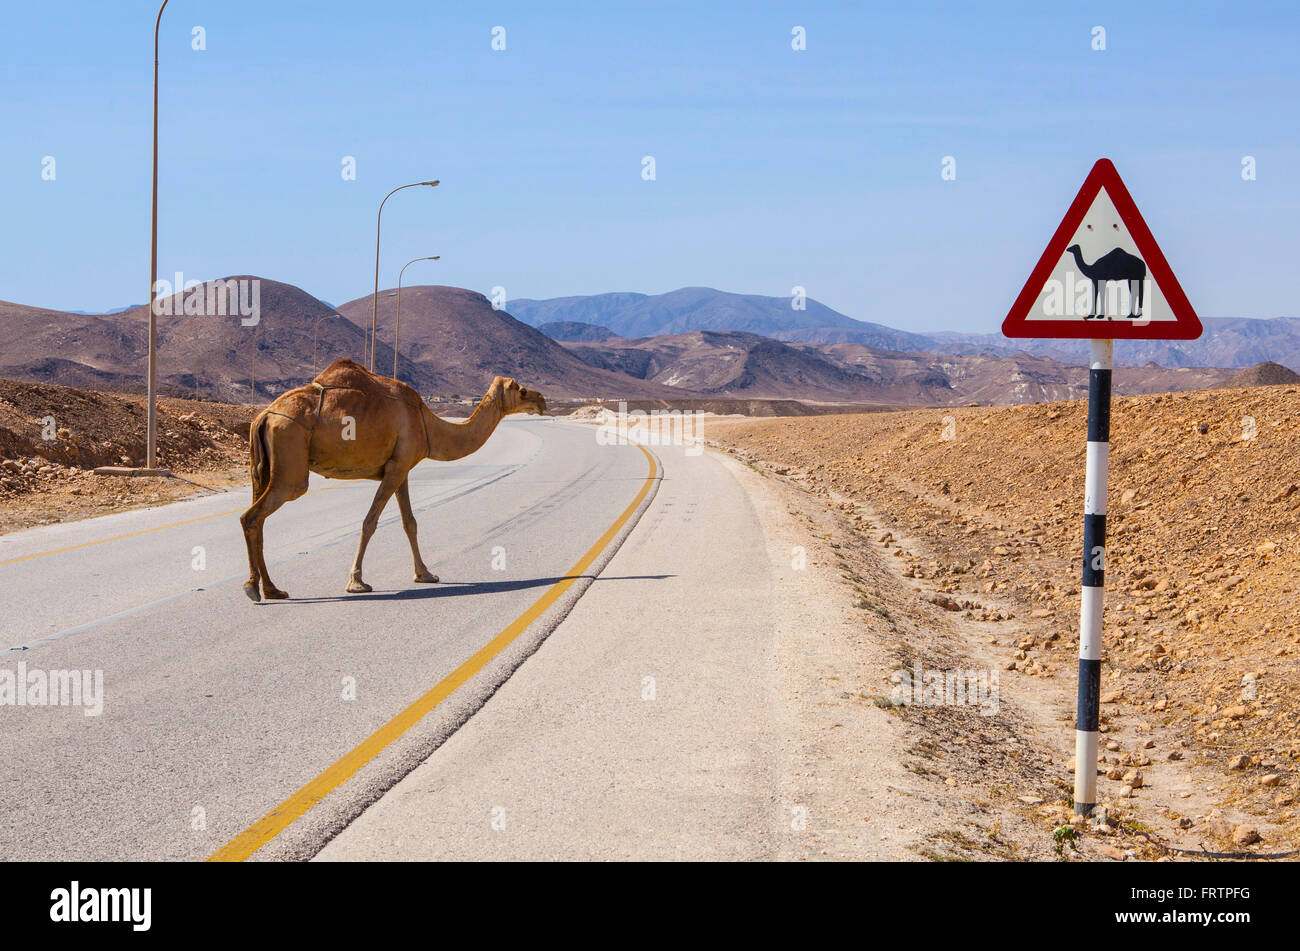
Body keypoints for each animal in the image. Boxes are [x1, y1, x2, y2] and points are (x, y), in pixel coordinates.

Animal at [239, 358, 547, 602]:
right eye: (520, 390)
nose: (542, 400)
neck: (426, 422)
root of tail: (263, 416)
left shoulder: (402, 468)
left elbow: (409, 522)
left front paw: (425, 574)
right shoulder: (397, 467)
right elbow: (370, 522)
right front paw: (357, 582)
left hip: (262, 468)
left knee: (257, 519)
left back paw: (272, 589)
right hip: (290, 460)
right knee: (253, 516)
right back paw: (256, 588)